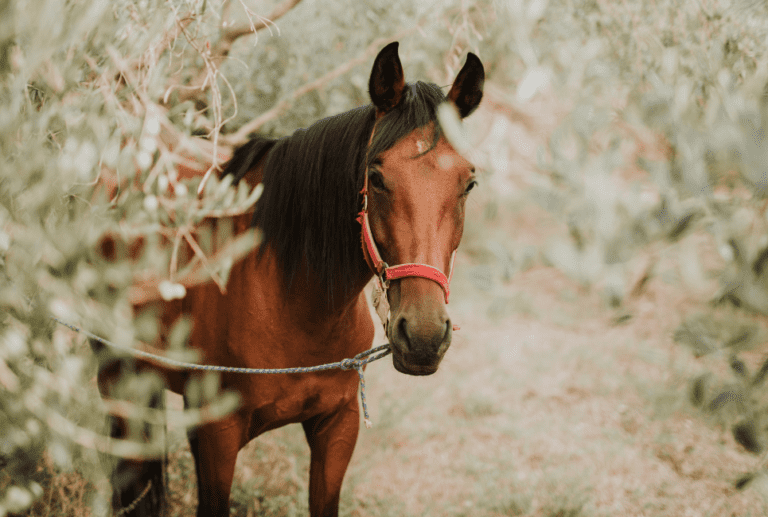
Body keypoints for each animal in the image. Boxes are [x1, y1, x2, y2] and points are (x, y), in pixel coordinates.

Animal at [93, 41, 484, 517]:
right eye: (376, 177)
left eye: (469, 183)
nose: (425, 337)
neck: (294, 301)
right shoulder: (215, 438)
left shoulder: (337, 427)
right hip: (114, 372)